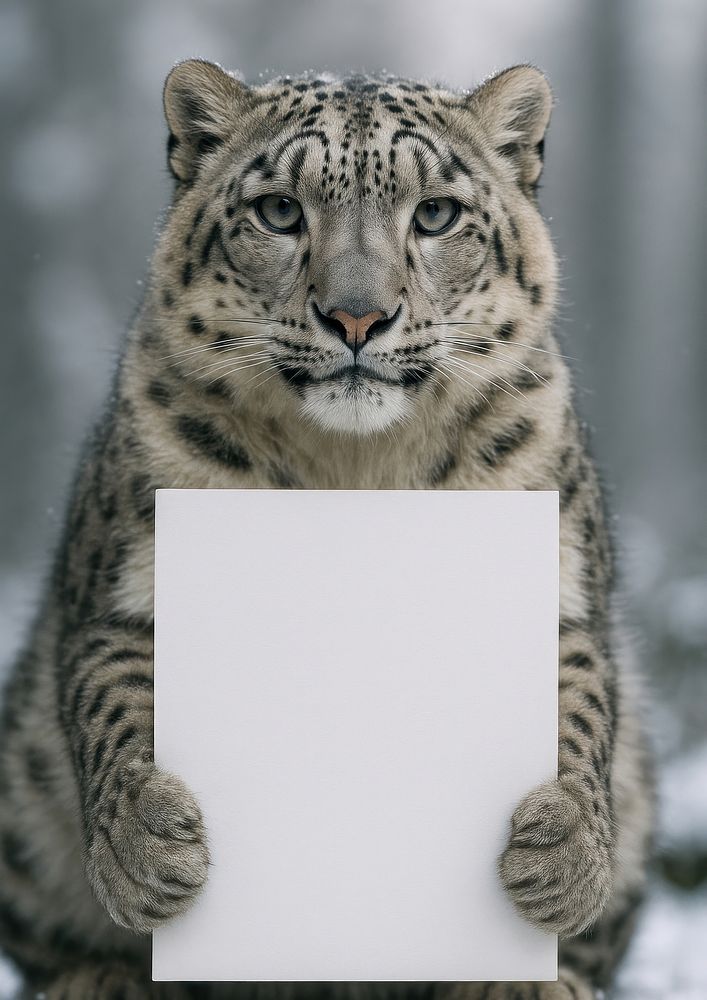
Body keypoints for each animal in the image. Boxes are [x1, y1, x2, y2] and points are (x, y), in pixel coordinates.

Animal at [0, 60, 654, 999]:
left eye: (434, 214)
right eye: (279, 210)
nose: (355, 317)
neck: (355, 465)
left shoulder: (552, 569)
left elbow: (578, 706)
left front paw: (557, 857)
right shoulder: (126, 577)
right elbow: (113, 699)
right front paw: (149, 848)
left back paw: (528, 979)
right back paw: (101, 977)